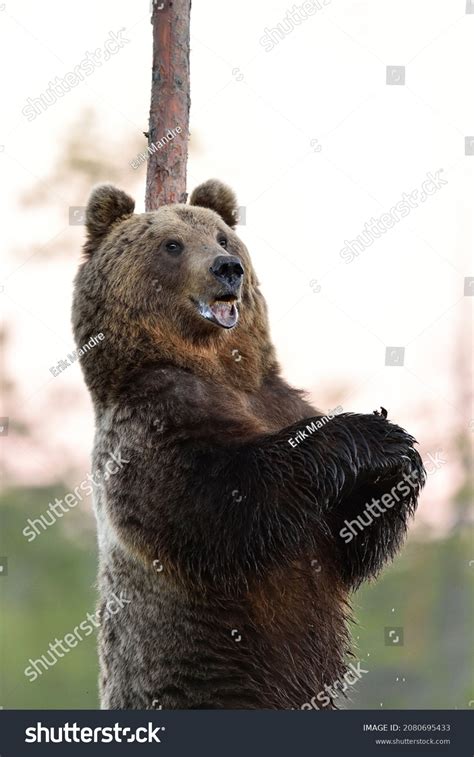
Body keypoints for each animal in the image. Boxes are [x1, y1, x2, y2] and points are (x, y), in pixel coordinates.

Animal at [72, 179, 425, 709]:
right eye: (171, 245)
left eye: (223, 238)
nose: (227, 268)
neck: (212, 364)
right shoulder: (151, 419)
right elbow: (216, 498)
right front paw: (368, 436)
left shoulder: (277, 400)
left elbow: (347, 538)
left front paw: (398, 461)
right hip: (205, 680)